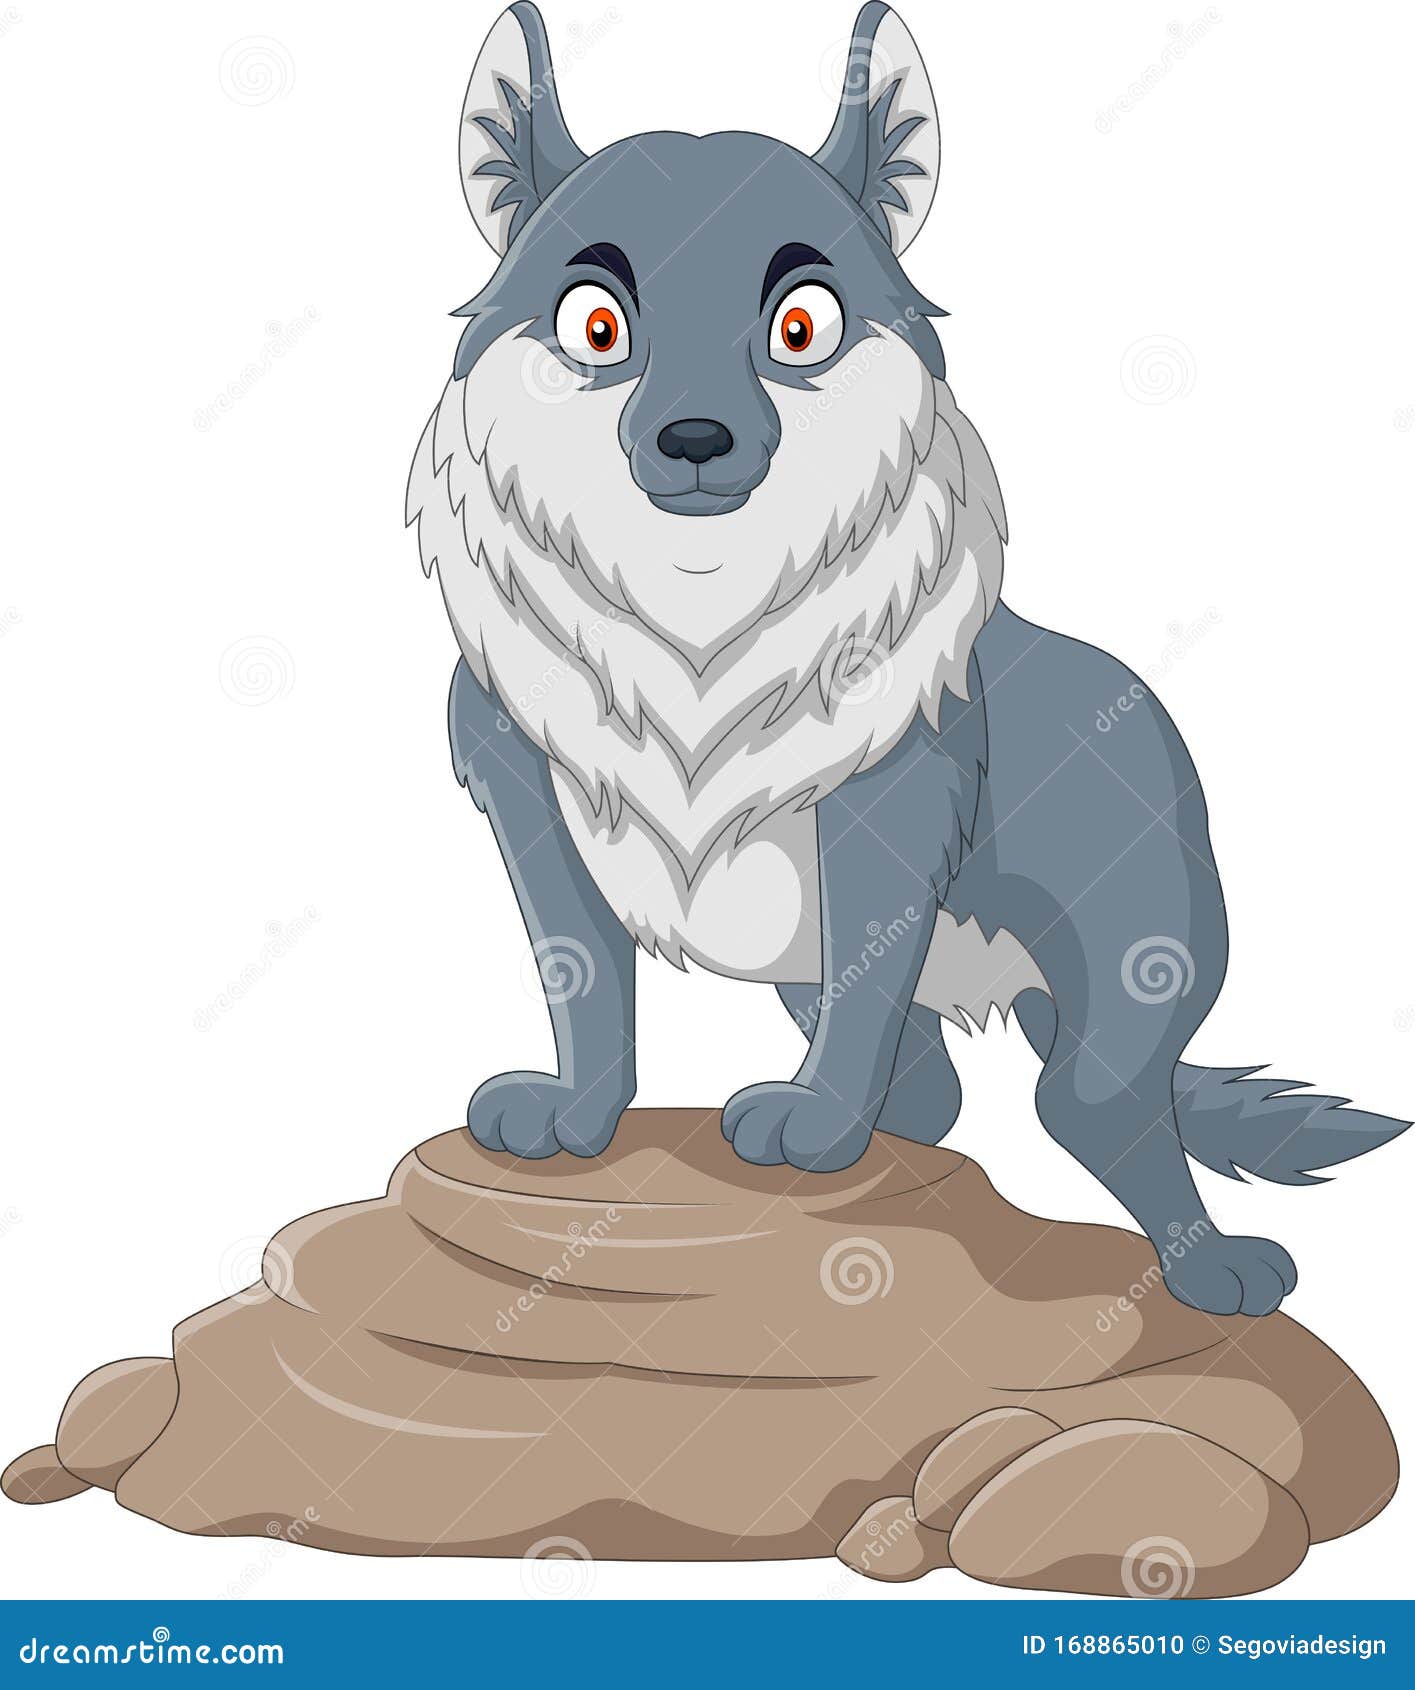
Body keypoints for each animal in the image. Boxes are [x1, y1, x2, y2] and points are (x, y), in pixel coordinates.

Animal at [407, 2, 1407, 1317]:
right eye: (595, 327)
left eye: (800, 327)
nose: (693, 438)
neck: (695, 620)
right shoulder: (530, 807)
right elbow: (583, 984)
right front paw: (577, 1117)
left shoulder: (883, 814)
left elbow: (861, 995)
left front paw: (817, 1127)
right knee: (933, 1088)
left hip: (1123, 975)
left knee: (1099, 1110)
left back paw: (1210, 1267)